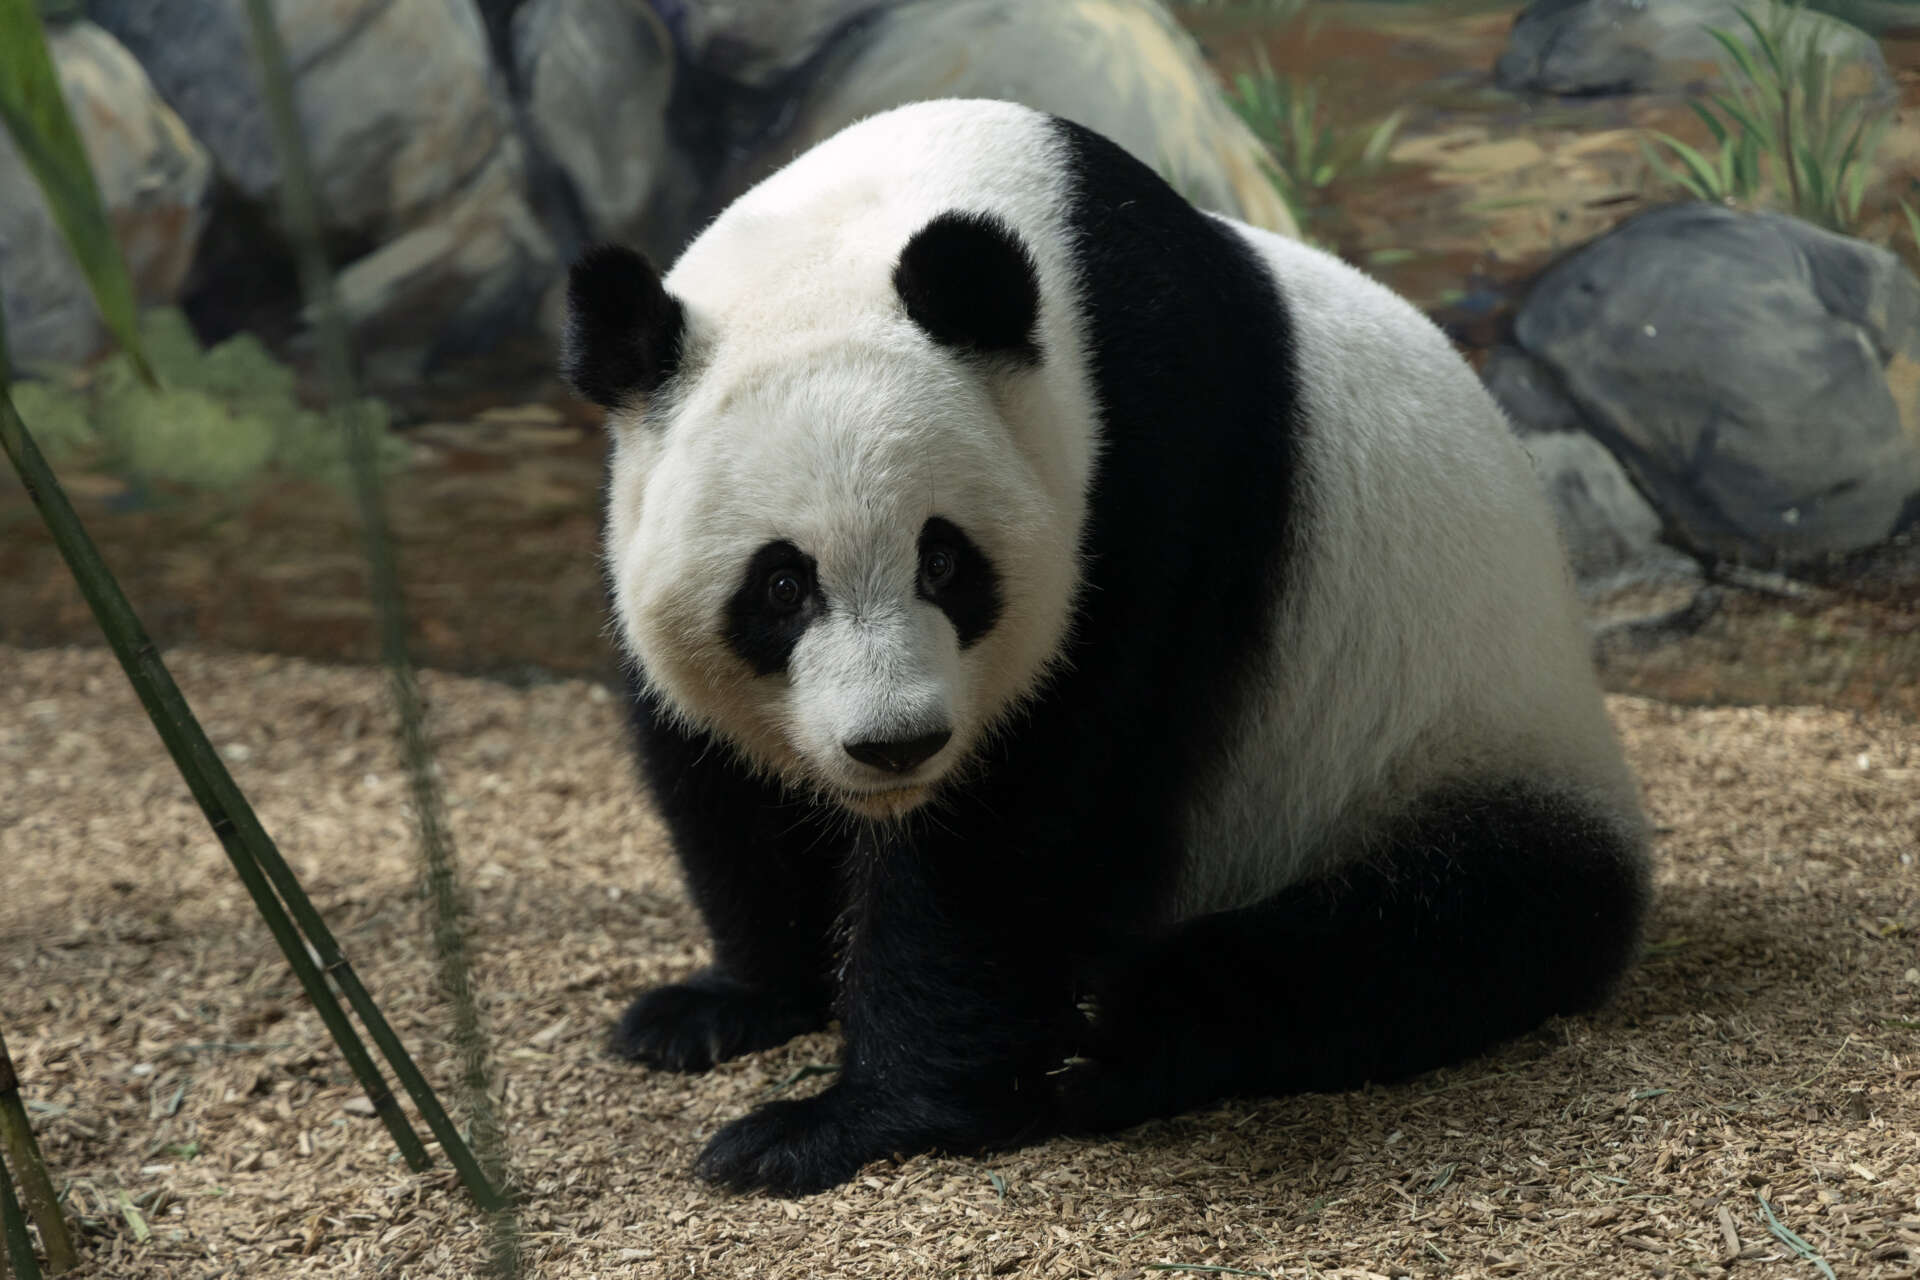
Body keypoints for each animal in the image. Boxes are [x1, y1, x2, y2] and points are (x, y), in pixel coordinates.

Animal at [563, 98, 1652, 1197]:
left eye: (944, 562)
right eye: (782, 586)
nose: (896, 743)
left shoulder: (1152, 472)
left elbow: (1028, 815)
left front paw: (838, 1119)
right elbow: (713, 774)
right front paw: (726, 1003)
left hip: (1447, 741)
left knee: (1426, 934)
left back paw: (1111, 1036)